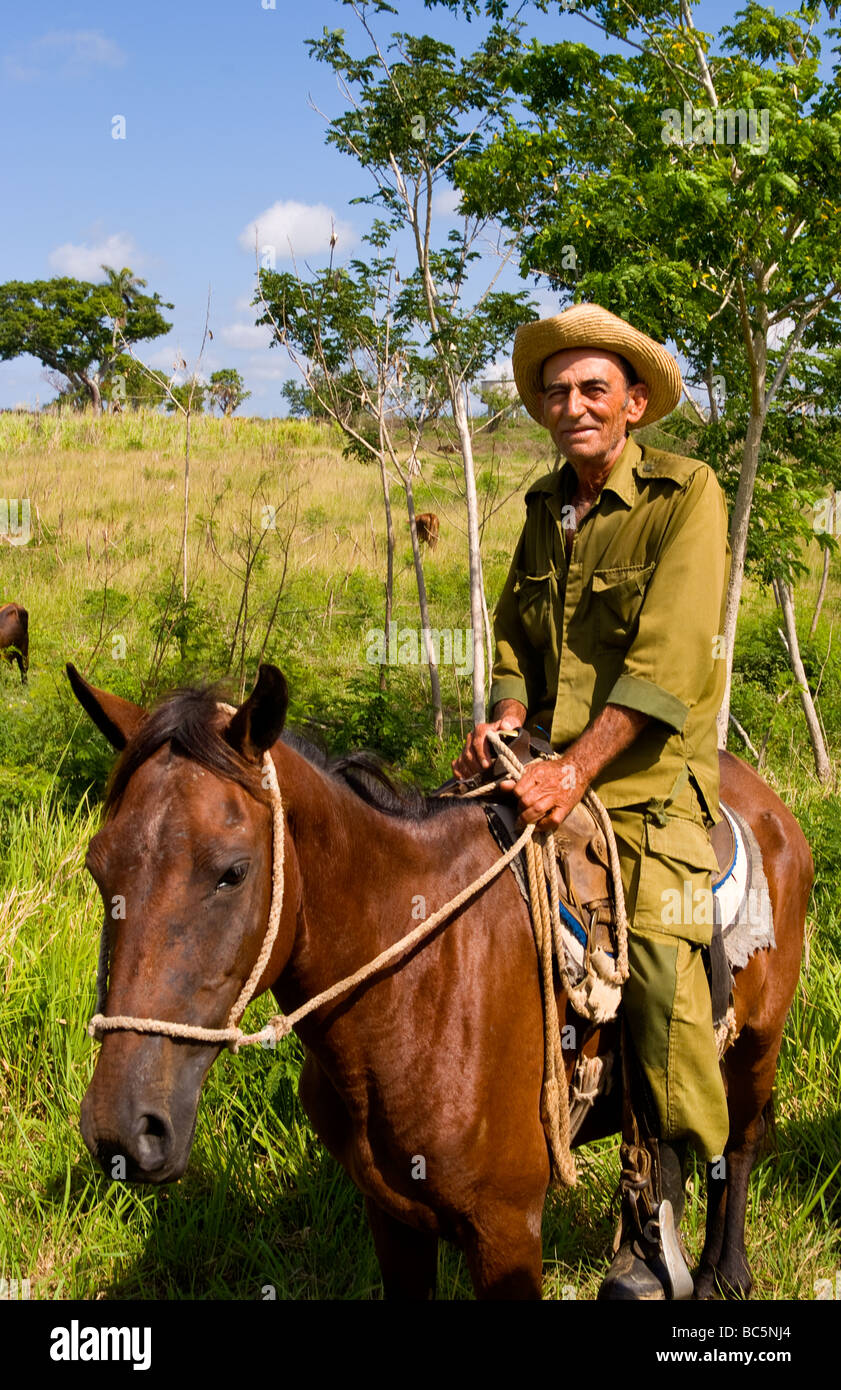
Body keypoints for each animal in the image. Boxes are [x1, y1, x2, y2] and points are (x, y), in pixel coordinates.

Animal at [67, 661, 812, 1300]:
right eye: (99, 868)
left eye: (232, 871)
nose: (124, 1131)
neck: (419, 991)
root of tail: (766, 803)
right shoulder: (391, 1216)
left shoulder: (507, 1231)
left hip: (756, 1045)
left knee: (735, 1143)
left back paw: (723, 1273)